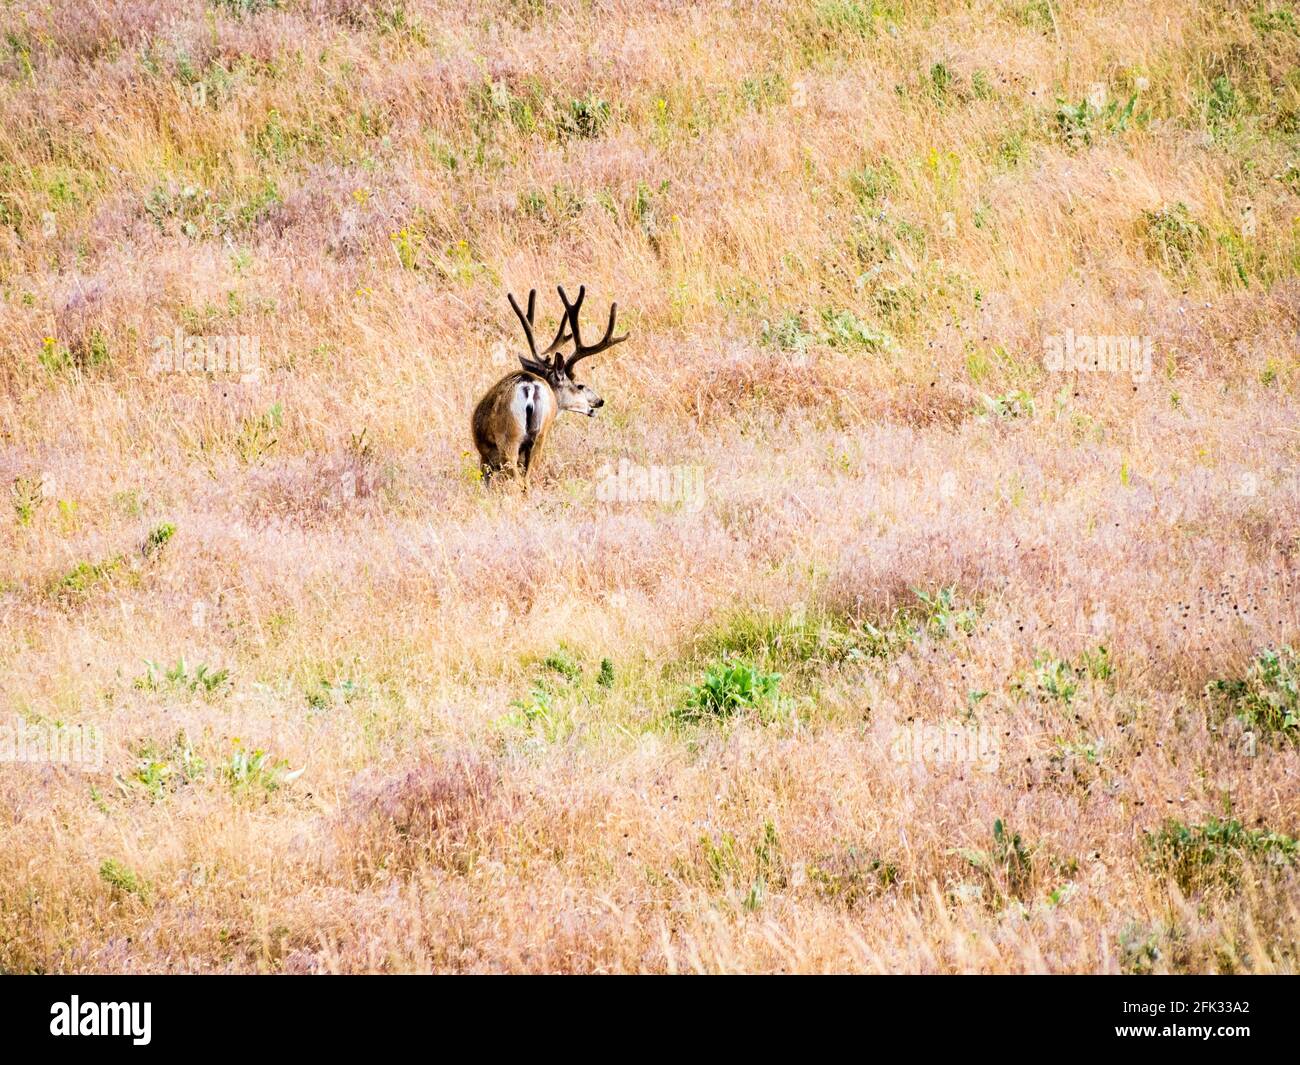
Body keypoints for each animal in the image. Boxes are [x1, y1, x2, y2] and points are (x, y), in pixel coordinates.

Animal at [471, 285, 628, 486]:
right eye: (579, 384)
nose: (599, 401)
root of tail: (530, 386)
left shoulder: (485, 455)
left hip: (509, 439)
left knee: (518, 483)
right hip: (538, 438)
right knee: (526, 480)